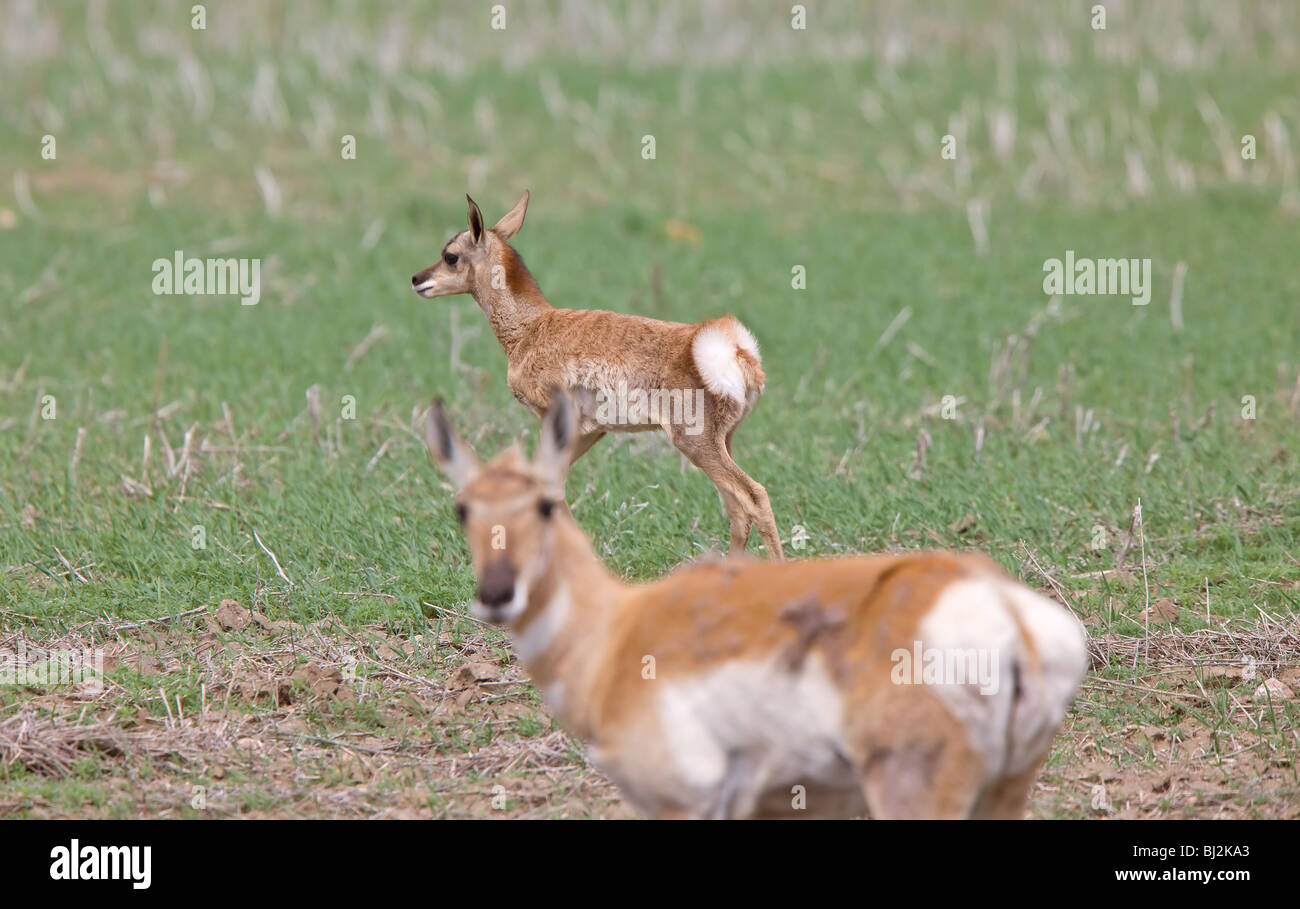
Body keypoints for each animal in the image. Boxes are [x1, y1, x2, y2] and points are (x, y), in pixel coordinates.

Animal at [411, 192, 783, 559]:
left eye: (450, 256)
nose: (416, 279)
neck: (532, 327)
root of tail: (733, 348)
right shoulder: (591, 431)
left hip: (697, 444)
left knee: (754, 496)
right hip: (722, 443)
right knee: (738, 511)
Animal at [424, 392, 1090, 819]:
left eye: (545, 504)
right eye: (463, 508)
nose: (497, 594)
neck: (615, 629)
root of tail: (1007, 615)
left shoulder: (682, 803)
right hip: (1002, 792)